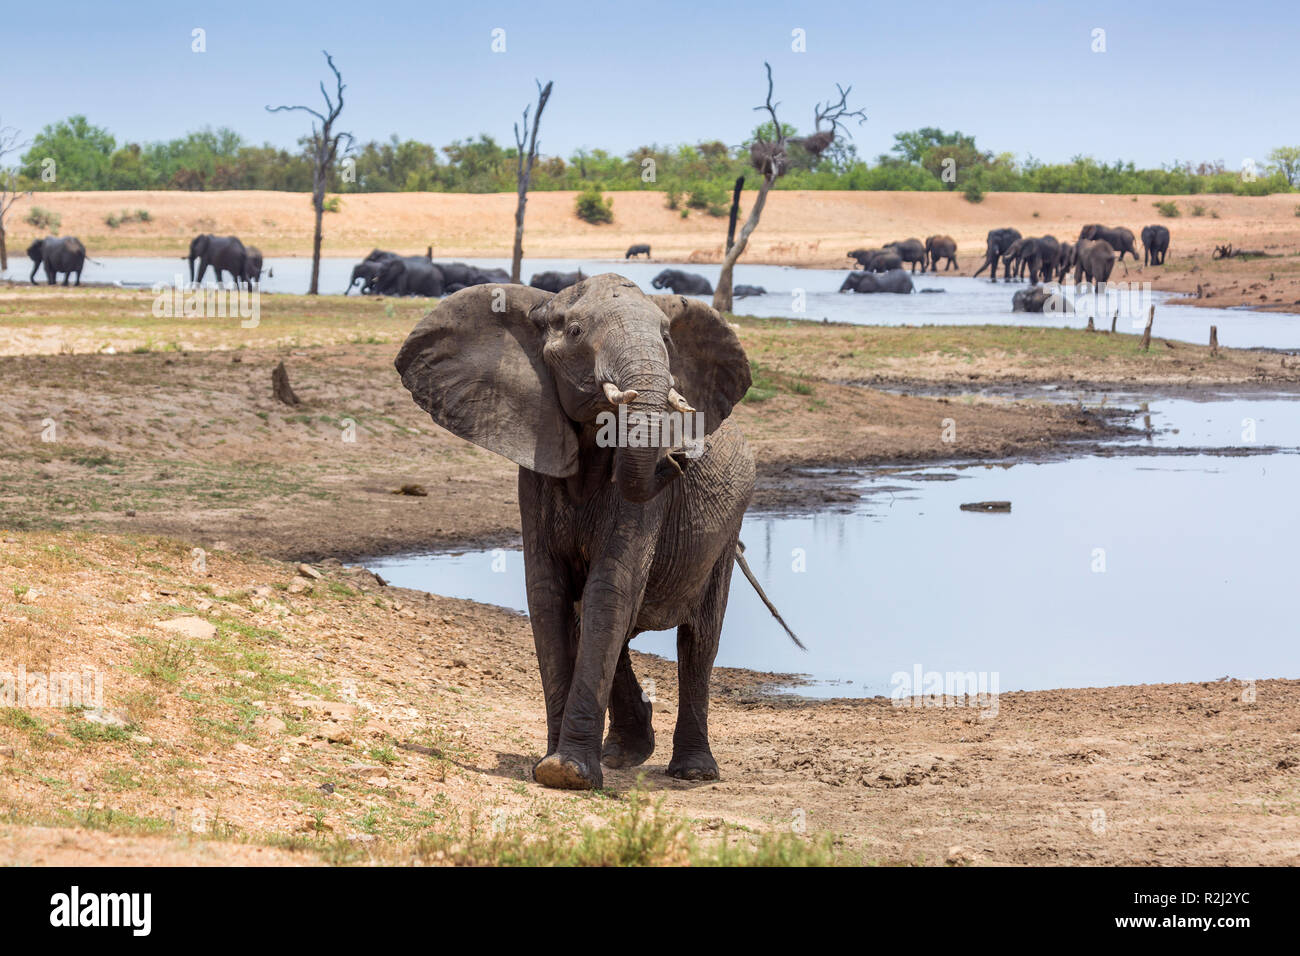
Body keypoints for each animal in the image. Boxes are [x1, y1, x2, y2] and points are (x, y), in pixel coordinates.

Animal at [395, 275, 800, 789]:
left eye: (666, 338)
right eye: (574, 332)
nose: (678, 457)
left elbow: (610, 586)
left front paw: (568, 773)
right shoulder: (536, 468)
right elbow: (549, 595)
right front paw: (555, 769)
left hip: (729, 528)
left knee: (698, 639)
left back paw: (691, 771)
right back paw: (625, 752)